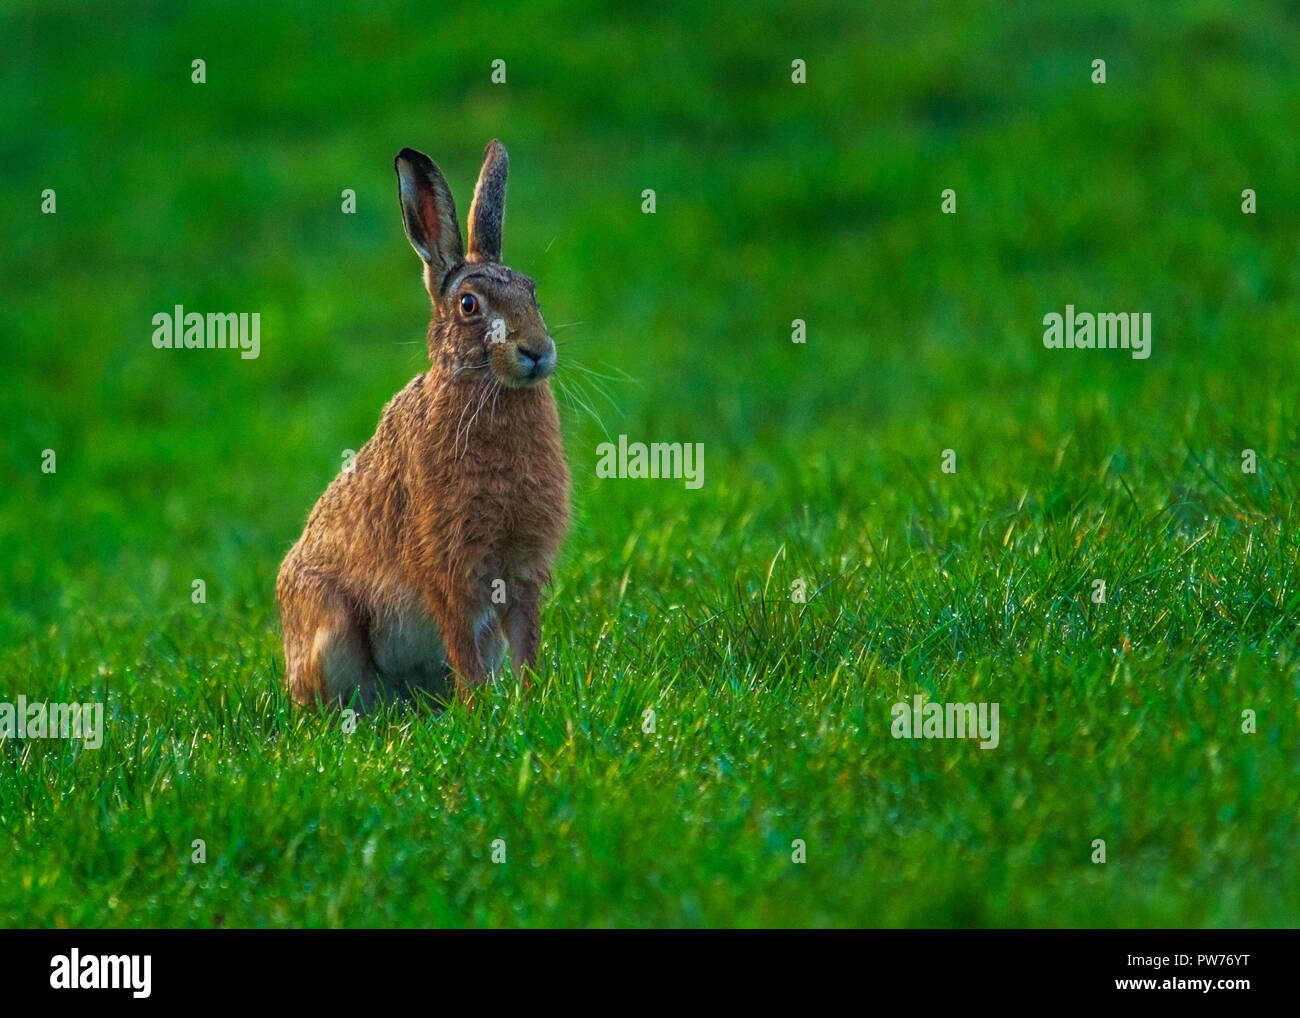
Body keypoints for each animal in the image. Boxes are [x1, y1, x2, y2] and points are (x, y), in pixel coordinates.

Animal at [276, 140, 571, 710]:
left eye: (532, 292)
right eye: (469, 306)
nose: (537, 352)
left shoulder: (522, 573)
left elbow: (526, 643)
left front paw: (531, 702)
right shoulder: (448, 570)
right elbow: (463, 644)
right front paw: (481, 711)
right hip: (332, 626)